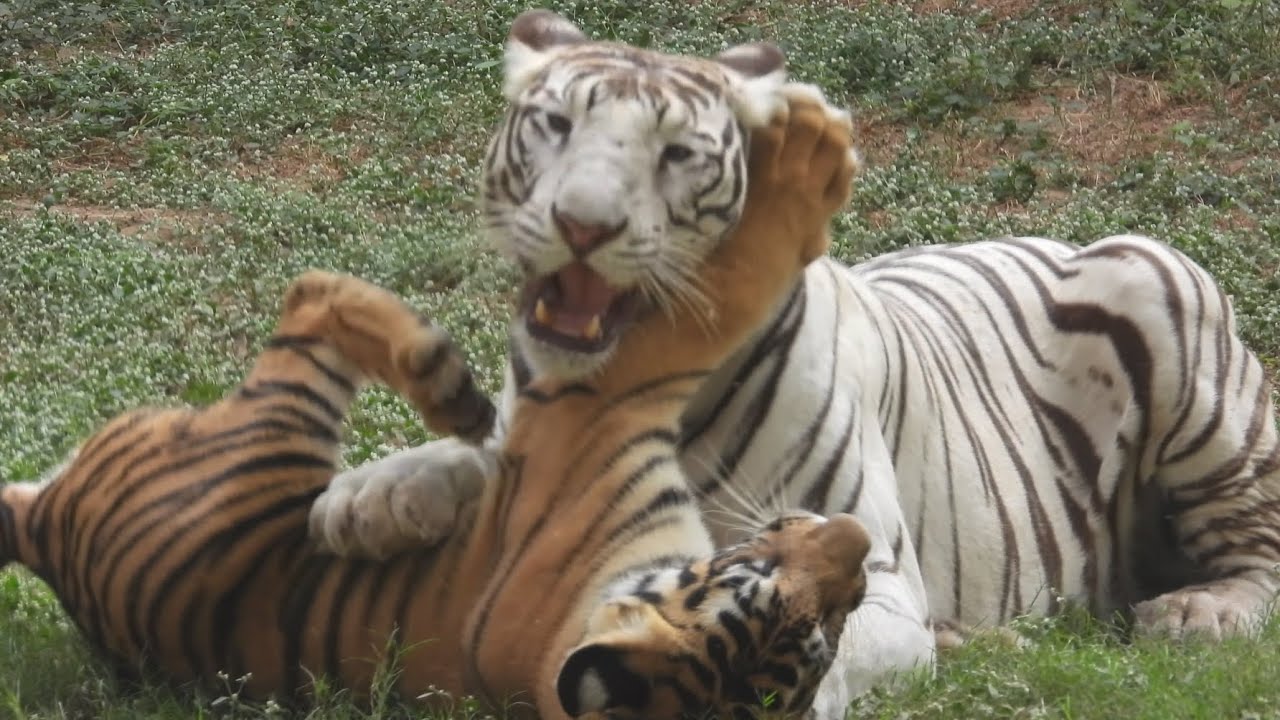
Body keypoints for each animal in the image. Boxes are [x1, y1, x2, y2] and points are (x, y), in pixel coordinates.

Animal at [0, 39, 869, 719]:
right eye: (753, 574)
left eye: (828, 632)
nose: (853, 538)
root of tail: (45, 531)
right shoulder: (600, 402)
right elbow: (722, 294)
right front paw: (810, 147)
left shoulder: (597, 405)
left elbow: (720, 296)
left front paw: (808, 151)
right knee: (314, 292)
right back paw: (444, 381)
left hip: (274, 421)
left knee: (311, 295)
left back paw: (445, 383)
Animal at [310, 8, 1280, 718]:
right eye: (554, 125)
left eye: (675, 154)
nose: (583, 224)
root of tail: (1057, 236)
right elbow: (485, 452)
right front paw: (369, 497)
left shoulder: (878, 576)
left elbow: (837, 639)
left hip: (1162, 304)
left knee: (1259, 550)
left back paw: (1195, 610)